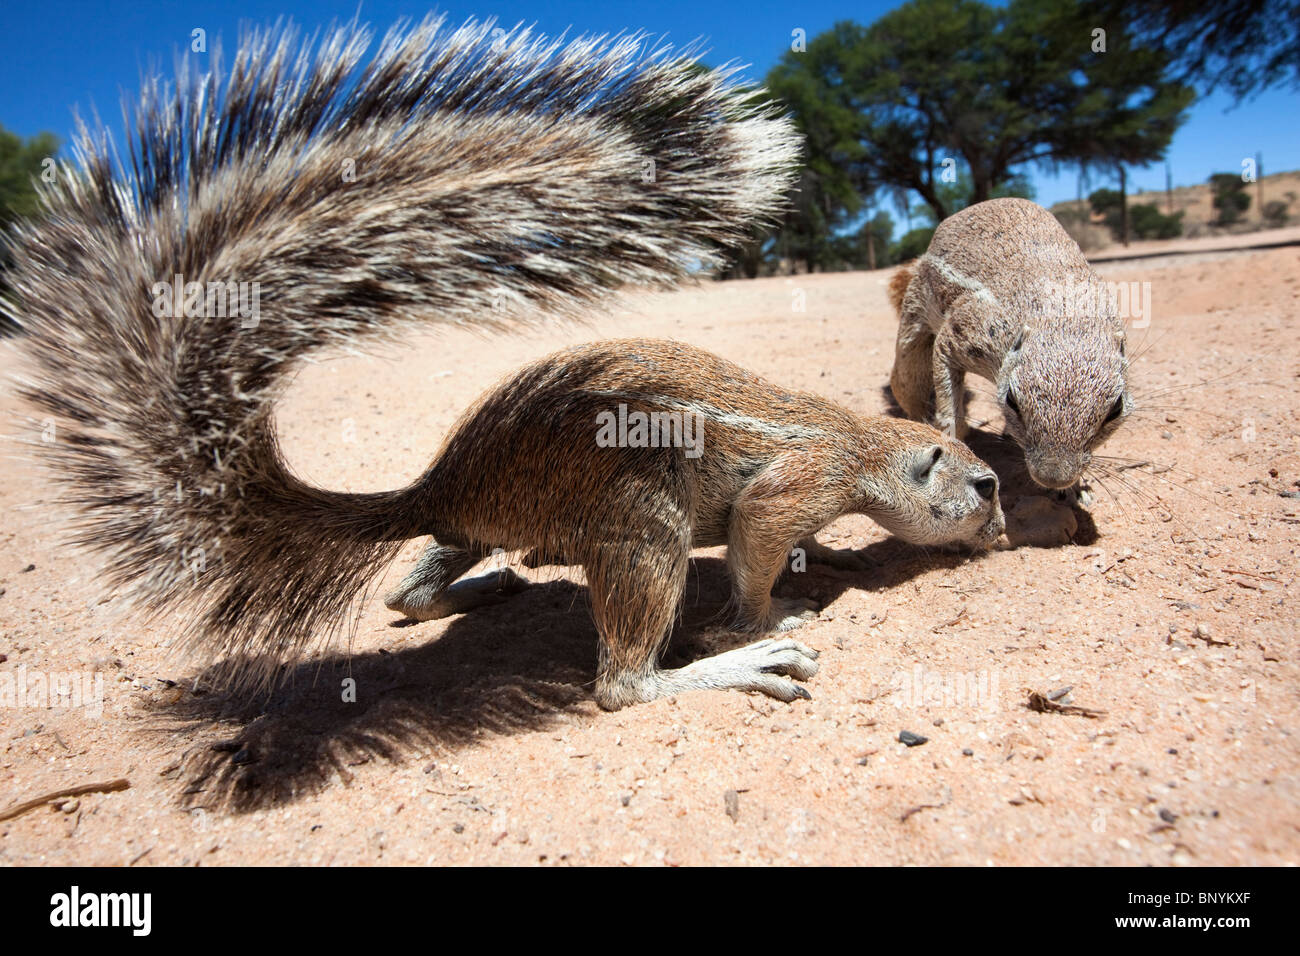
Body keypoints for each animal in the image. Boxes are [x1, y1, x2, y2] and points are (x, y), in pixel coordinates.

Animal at [4, 17, 1002, 710]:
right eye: (987, 484)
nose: (998, 536)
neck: (863, 443)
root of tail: (441, 482)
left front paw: (819, 563)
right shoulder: (801, 479)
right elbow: (757, 545)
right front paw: (766, 617)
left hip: (479, 528)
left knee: (407, 593)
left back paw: (480, 590)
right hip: (641, 512)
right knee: (620, 685)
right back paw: (731, 665)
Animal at [888, 198, 1131, 498]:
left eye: (1116, 409)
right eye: (1011, 400)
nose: (1053, 477)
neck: (1065, 319)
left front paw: (1075, 490)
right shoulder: (964, 333)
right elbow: (949, 410)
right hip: (913, 322)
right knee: (907, 381)